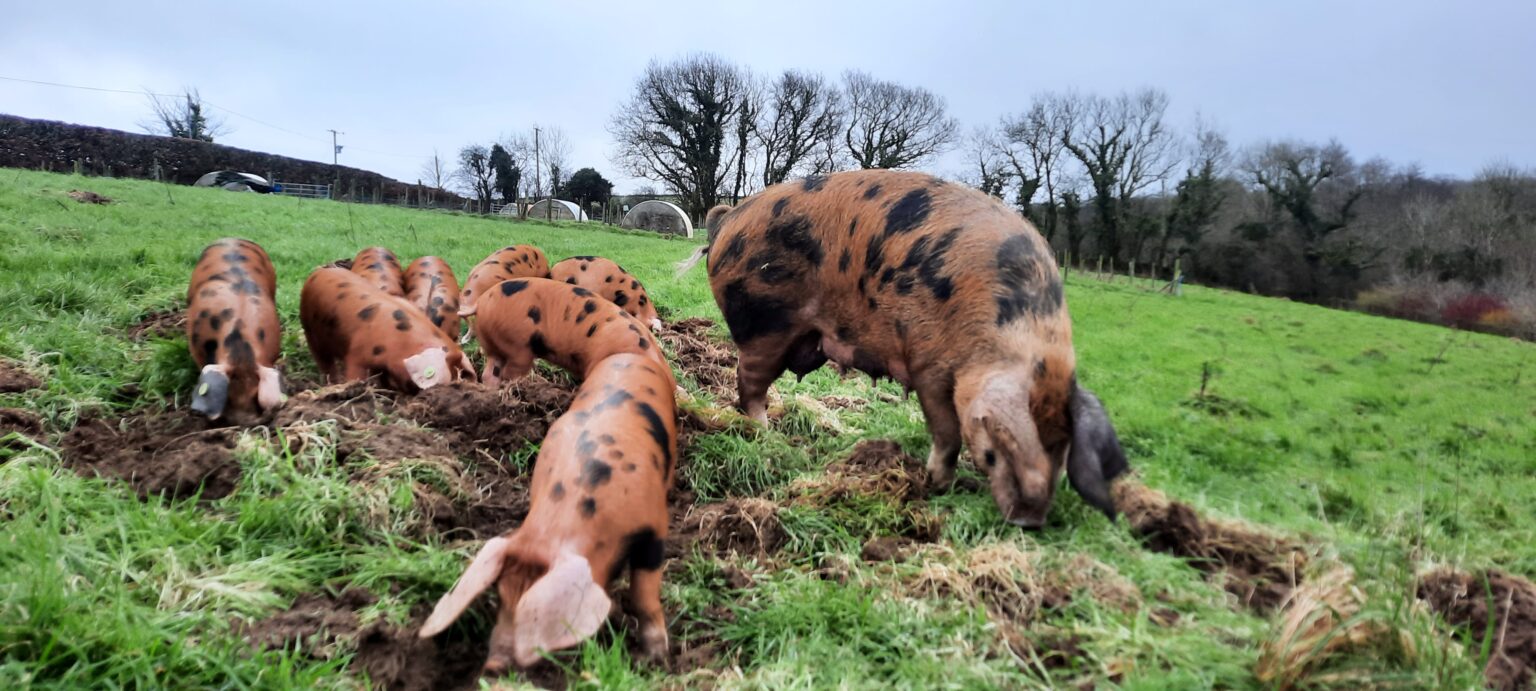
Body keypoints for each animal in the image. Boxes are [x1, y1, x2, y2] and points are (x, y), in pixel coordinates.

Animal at [300, 267, 475, 391]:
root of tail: (319, 272)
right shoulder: (356, 353)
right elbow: (355, 374)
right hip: (309, 329)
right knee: (324, 361)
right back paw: (332, 384)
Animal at [418, 352, 678, 672]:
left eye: (525, 602)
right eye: (500, 594)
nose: (493, 665)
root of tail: (628, 355)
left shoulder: (654, 526)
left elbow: (644, 594)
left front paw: (653, 659)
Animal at [678, 170, 1129, 527]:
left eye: (1062, 452)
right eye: (991, 454)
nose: (1029, 521)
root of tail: (729, 218)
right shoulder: (929, 364)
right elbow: (946, 431)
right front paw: (936, 485)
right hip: (763, 325)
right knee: (748, 386)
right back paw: (768, 436)